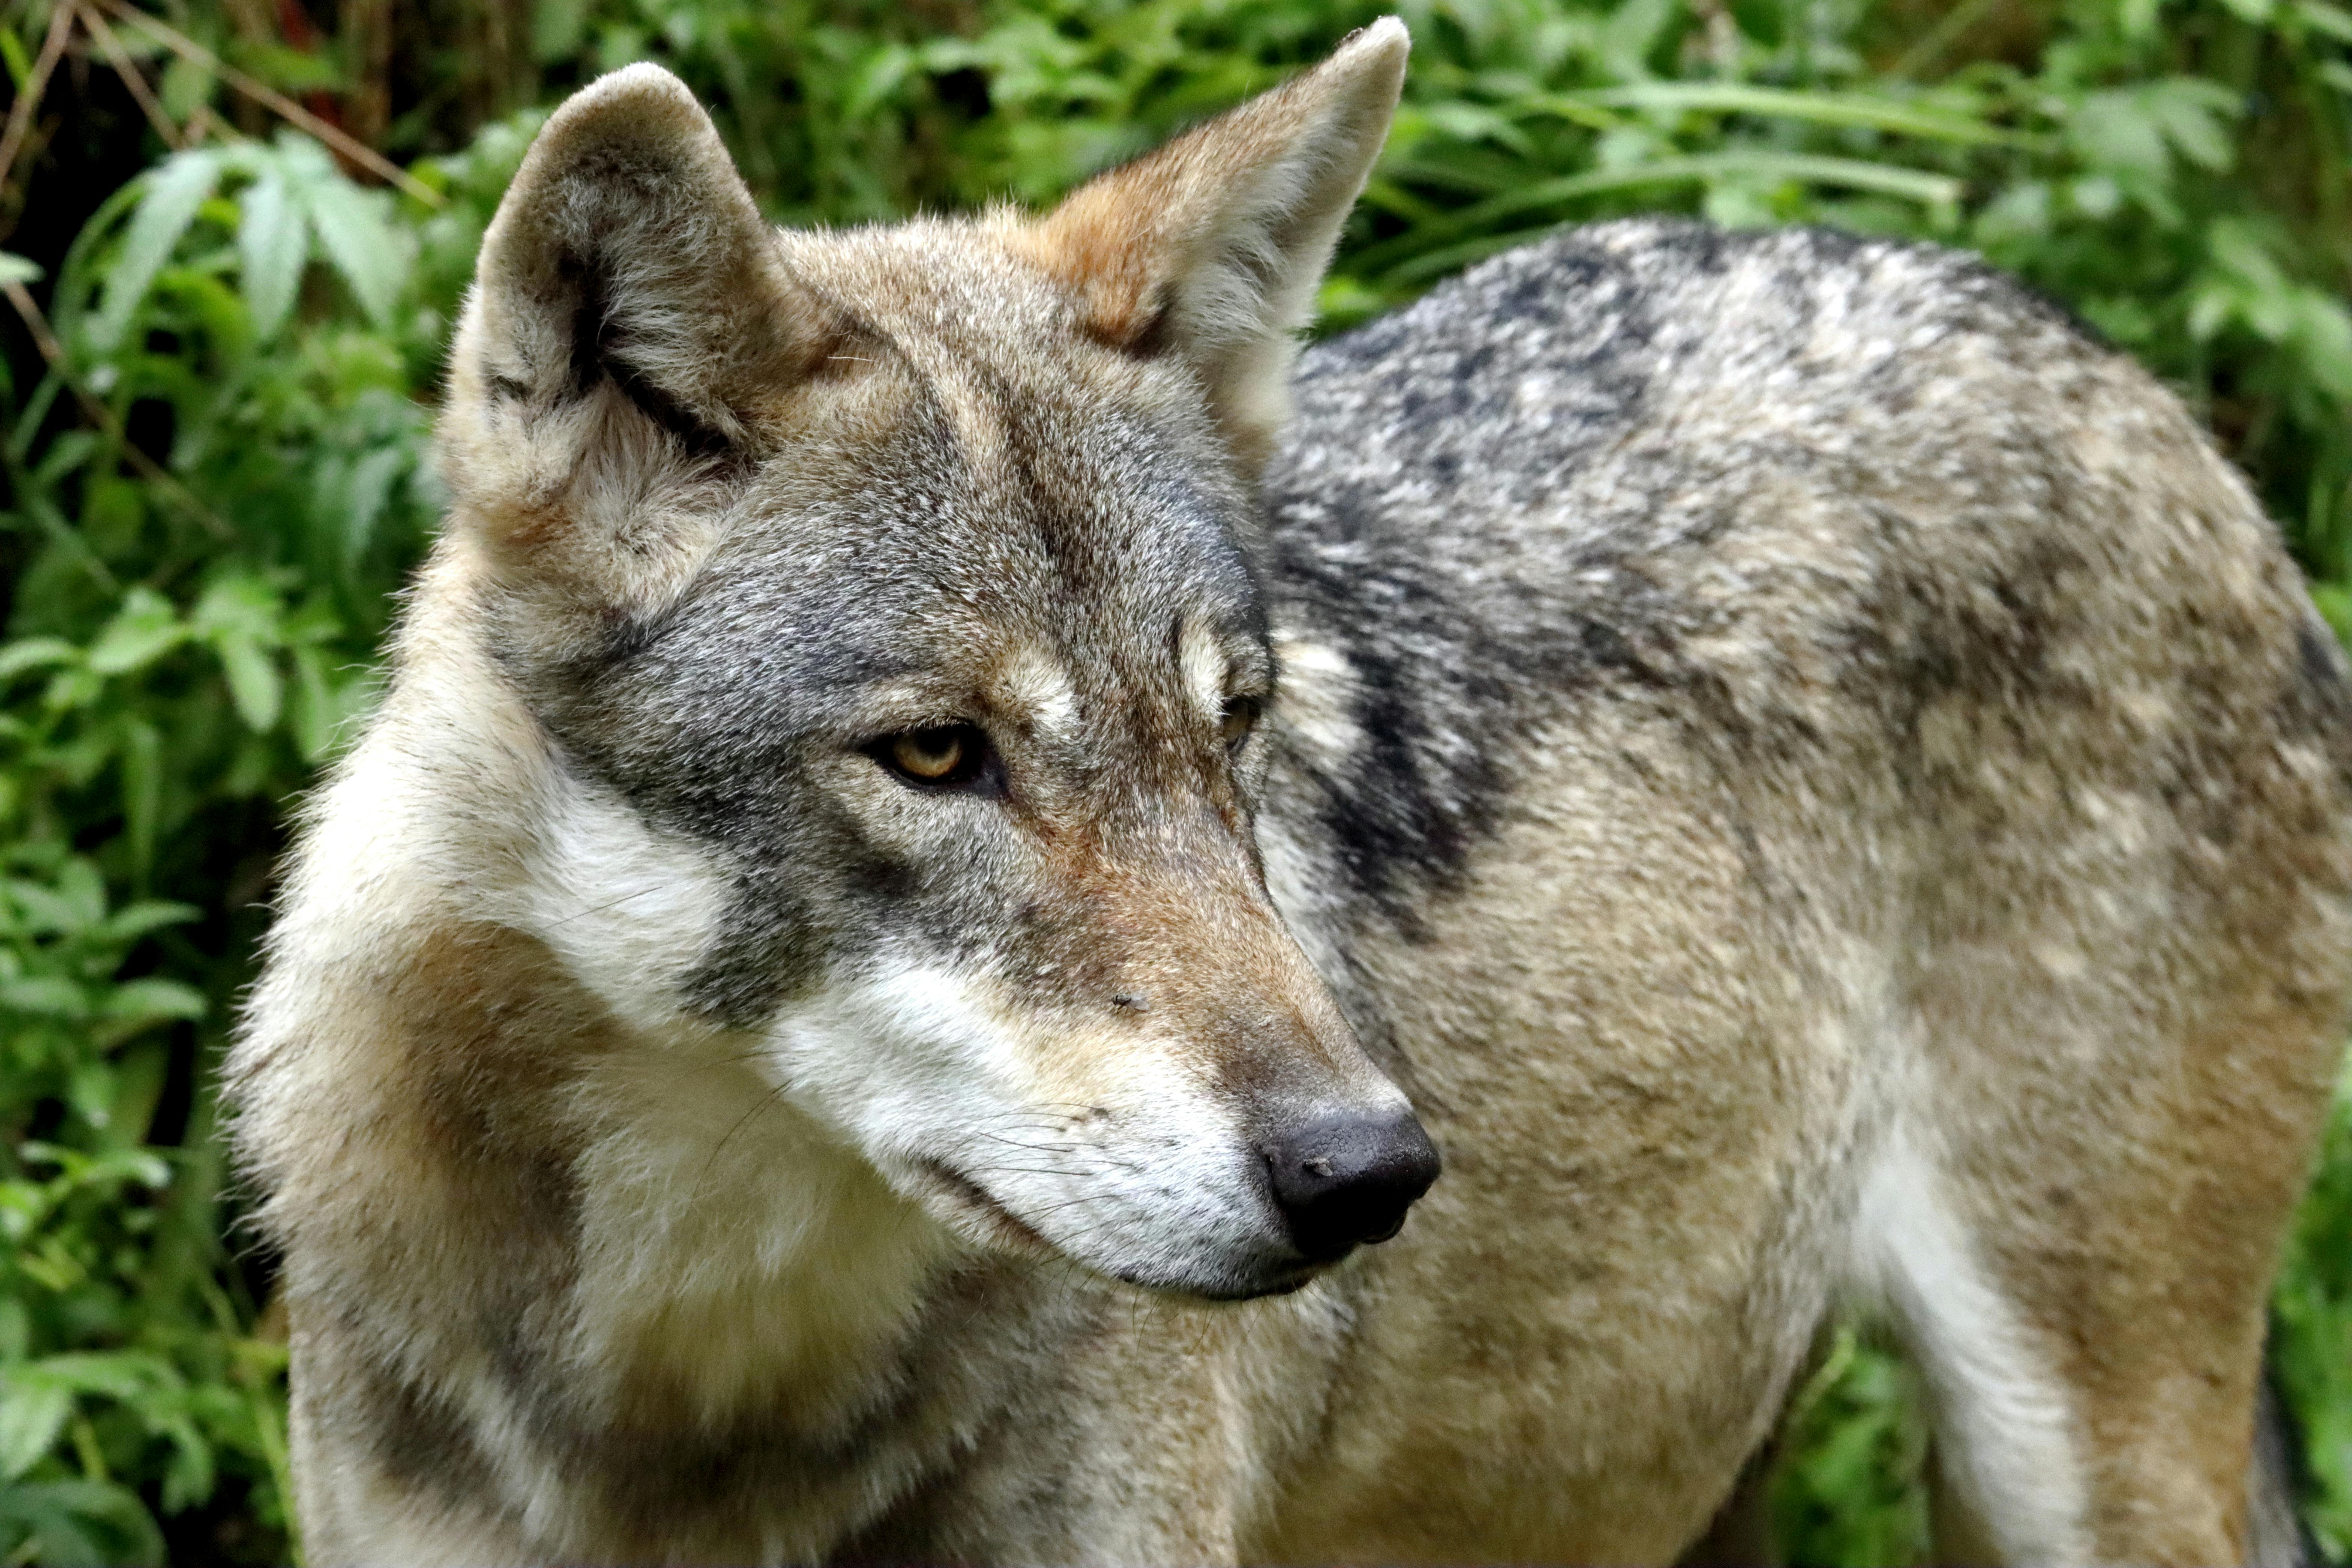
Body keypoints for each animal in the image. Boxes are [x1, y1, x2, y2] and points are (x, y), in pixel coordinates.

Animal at [228, 17, 2352, 1565]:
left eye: (1238, 724)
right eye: (938, 753)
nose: (1370, 1171)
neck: (686, 1421)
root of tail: (2118, 373)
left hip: (2076, 1458)